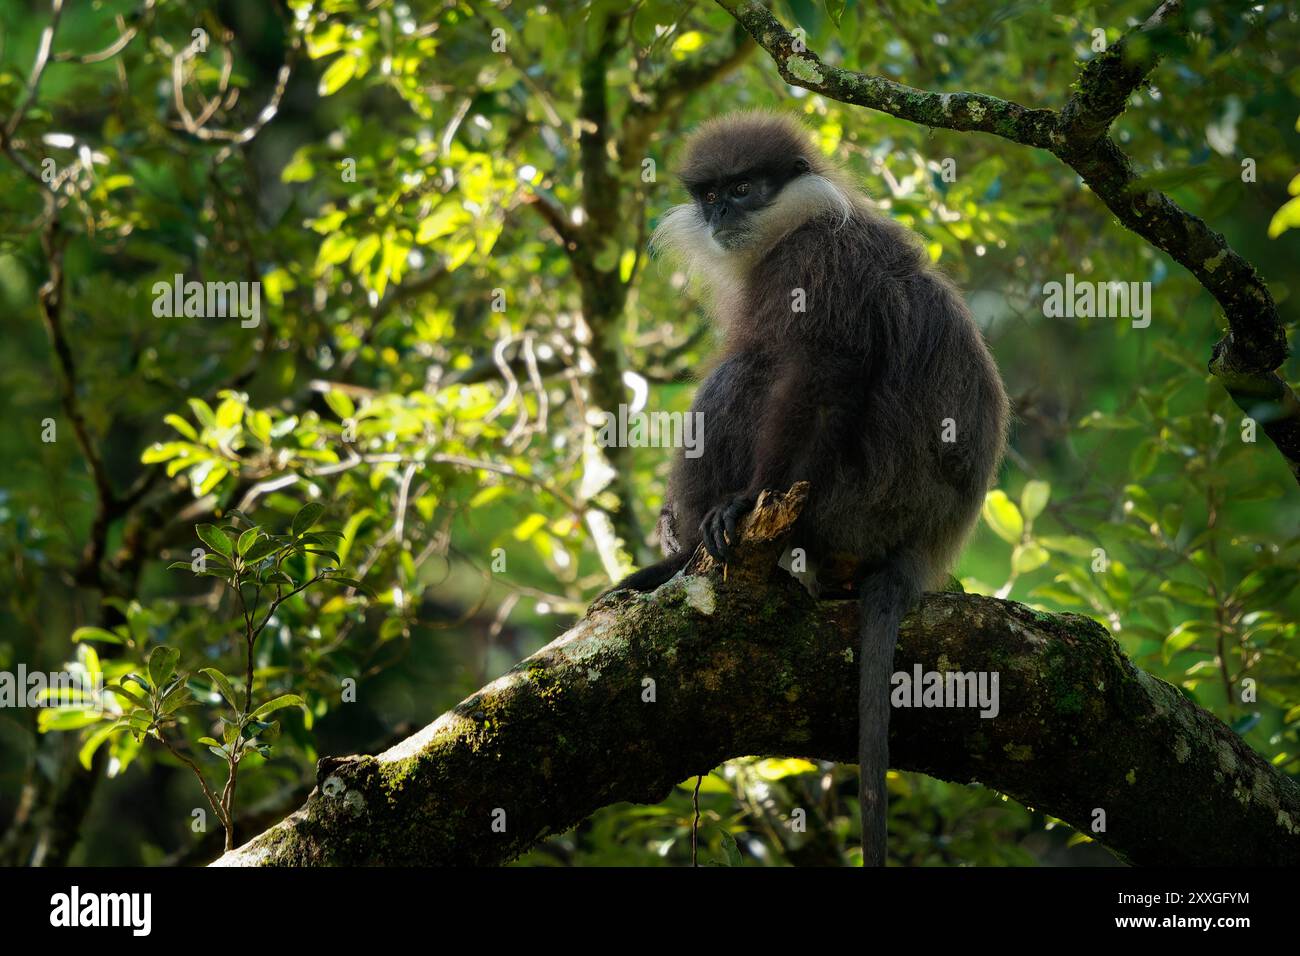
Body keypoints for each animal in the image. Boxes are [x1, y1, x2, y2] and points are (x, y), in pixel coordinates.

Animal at [602, 111, 1009, 867]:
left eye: (745, 187)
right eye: (711, 195)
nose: (722, 214)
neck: (792, 225)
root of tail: (918, 549)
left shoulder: (815, 263)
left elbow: (824, 370)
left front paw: (733, 506)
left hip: (855, 503)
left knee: (749, 371)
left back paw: (680, 563)